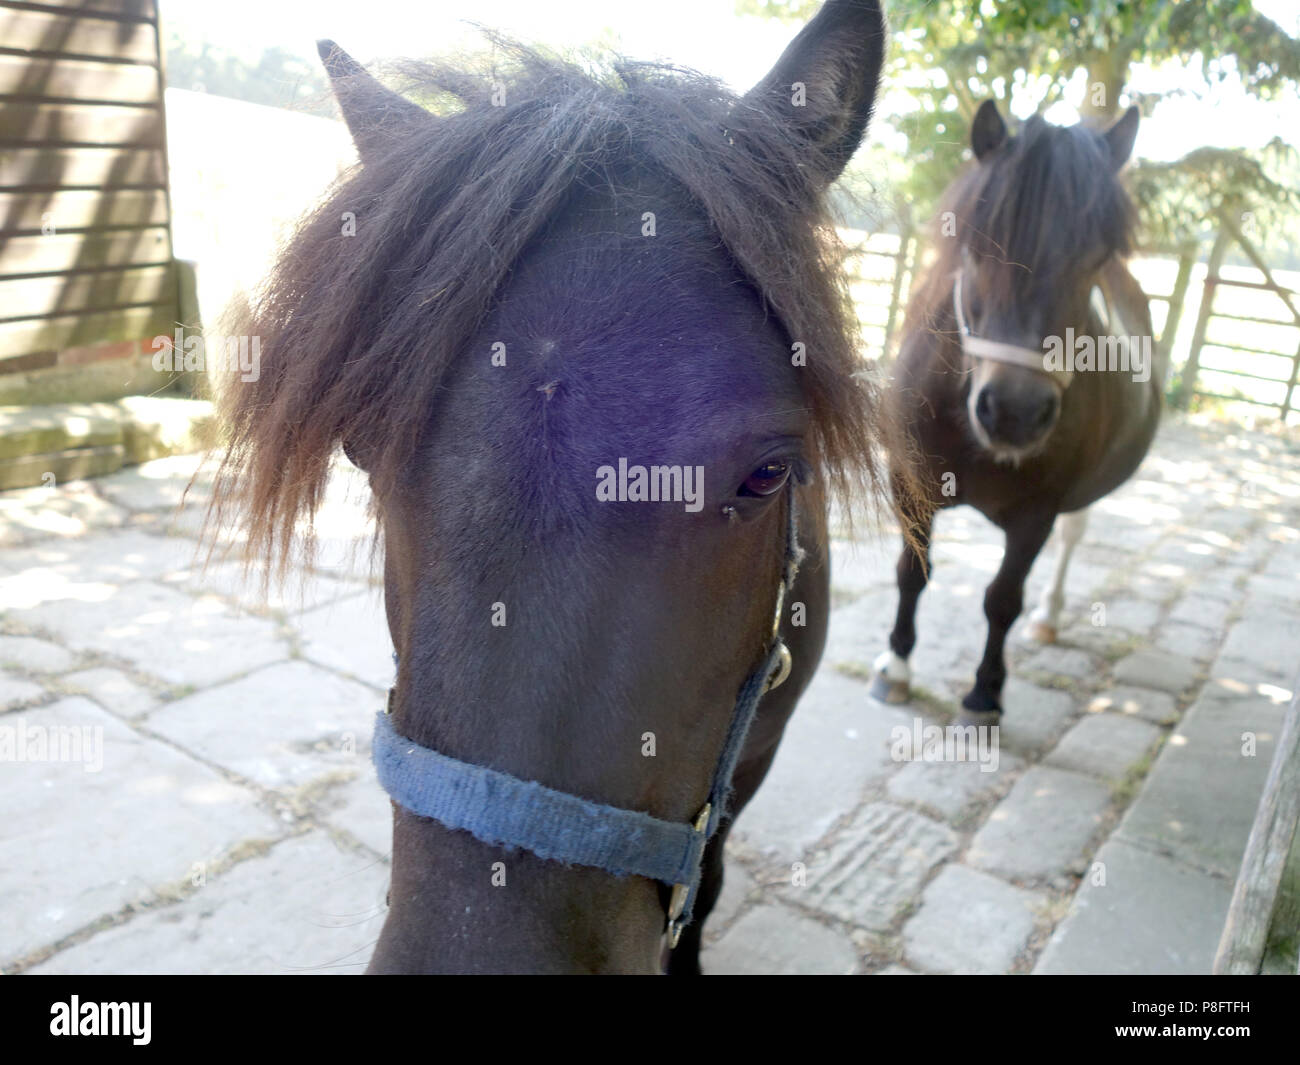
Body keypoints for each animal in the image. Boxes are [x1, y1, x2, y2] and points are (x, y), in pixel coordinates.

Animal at [870, 98, 1162, 724]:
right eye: (978, 246)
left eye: (1097, 259)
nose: (1015, 413)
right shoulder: (909, 484)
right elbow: (912, 573)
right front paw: (896, 666)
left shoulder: (1037, 512)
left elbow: (1002, 599)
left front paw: (985, 691)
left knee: (1073, 536)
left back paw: (1049, 617)